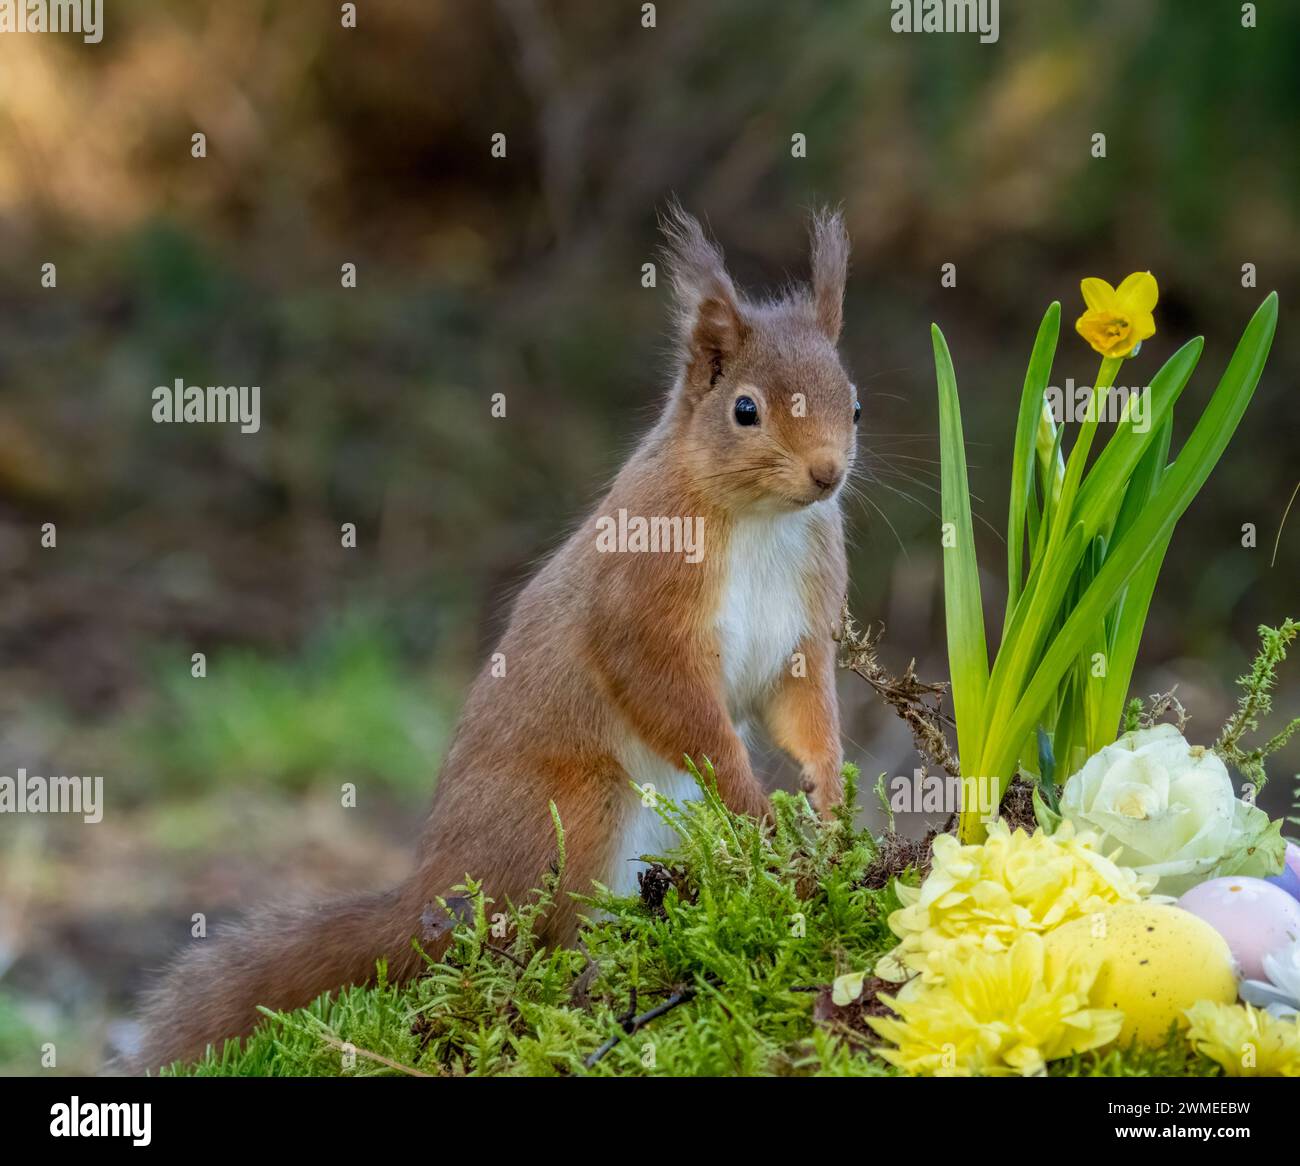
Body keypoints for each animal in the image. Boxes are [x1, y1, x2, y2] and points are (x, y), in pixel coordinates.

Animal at [130, 204, 858, 1072]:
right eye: (746, 409)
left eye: (854, 402)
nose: (828, 474)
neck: (759, 521)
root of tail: (432, 893)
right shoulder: (641, 604)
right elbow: (673, 702)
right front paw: (754, 804)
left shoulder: (801, 623)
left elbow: (802, 706)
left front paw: (828, 799)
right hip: (576, 814)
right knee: (540, 937)